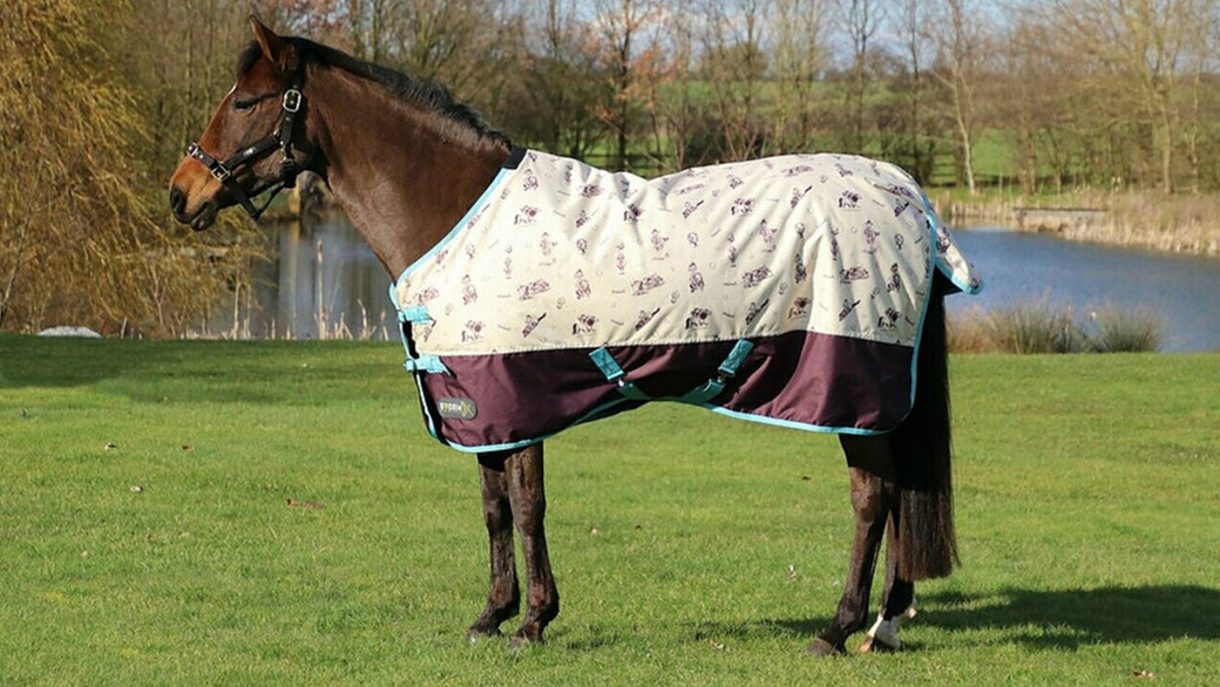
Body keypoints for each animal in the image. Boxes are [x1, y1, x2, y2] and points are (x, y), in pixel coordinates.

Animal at [169, 17, 979, 656]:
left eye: (245, 102)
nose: (182, 193)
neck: (456, 211)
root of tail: (908, 198)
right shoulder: (479, 402)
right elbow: (494, 507)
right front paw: (491, 614)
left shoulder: (520, 394)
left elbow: (527, 507)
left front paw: (533, 620)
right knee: (898, 494)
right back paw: (886, 624)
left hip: (853, 386)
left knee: (873, 497)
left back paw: (838, 628)